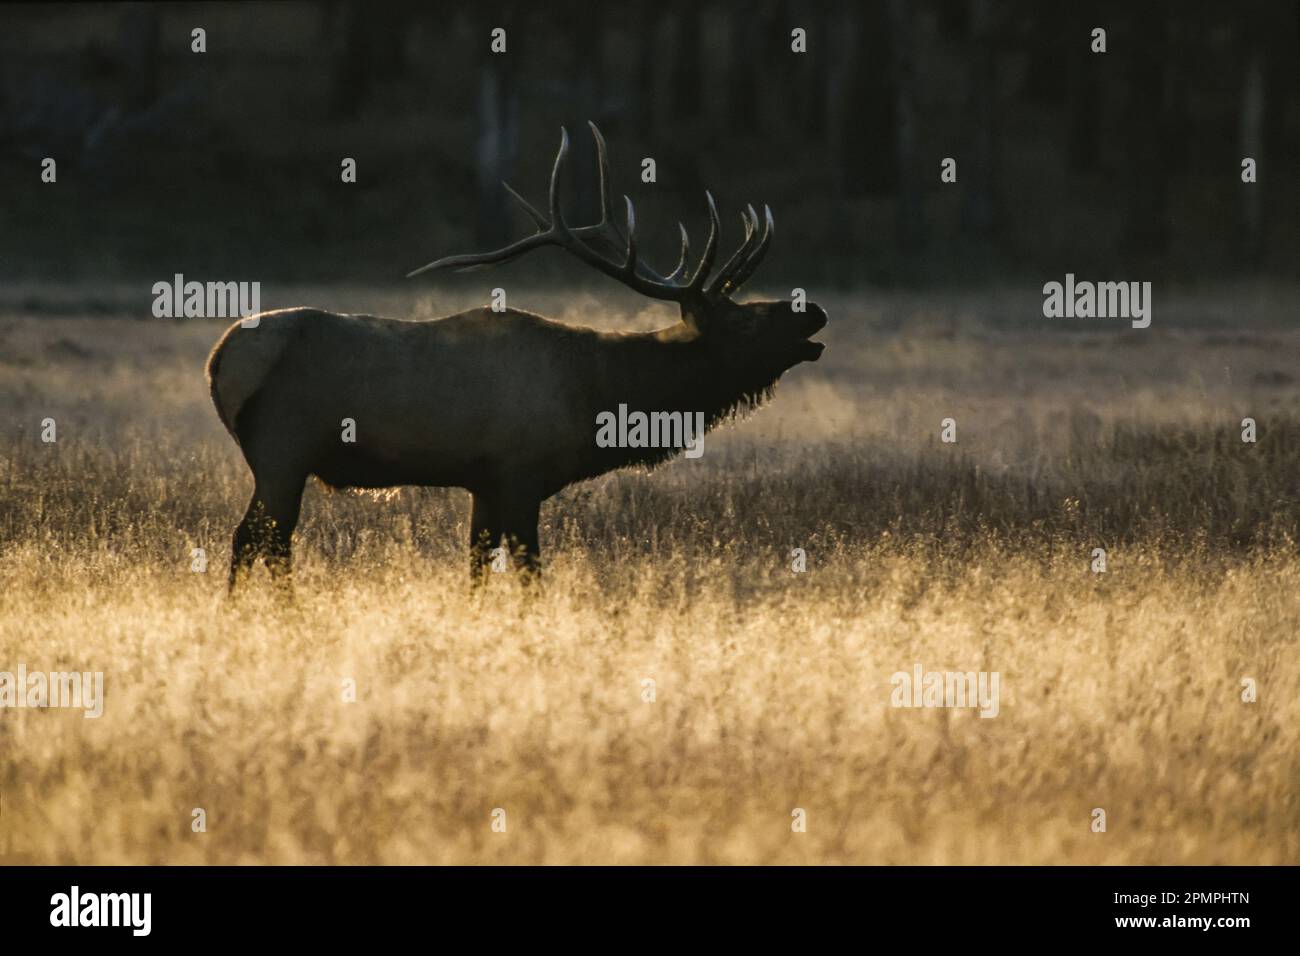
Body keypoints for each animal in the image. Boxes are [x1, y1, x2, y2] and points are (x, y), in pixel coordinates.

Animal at [206, 123, 827, 590]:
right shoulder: (523, 471)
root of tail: (219, 363)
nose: (814, 310)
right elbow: (531, 573)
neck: (594, 398)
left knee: (263, 541)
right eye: (743, 319)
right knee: (257, 539)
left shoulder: (484, 482)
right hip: (283, 450)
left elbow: (477, 568)